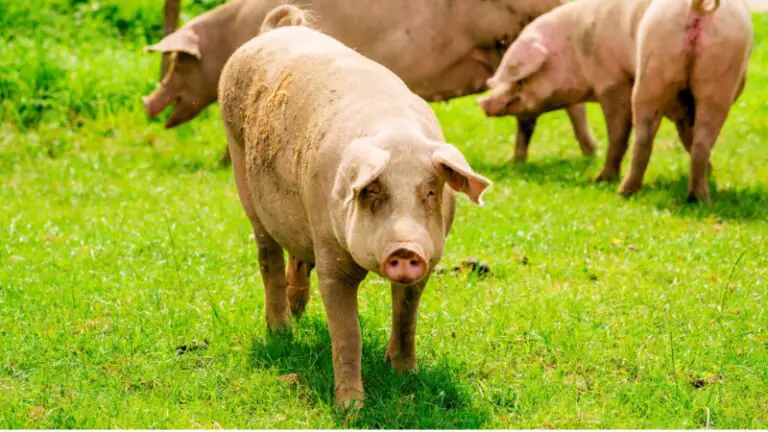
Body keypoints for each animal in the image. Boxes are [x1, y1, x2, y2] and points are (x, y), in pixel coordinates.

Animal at [218, 5, 492, 406]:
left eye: (429, 192)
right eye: (372, 192)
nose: (406, 249)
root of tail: (273, 30)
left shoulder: (429, 261)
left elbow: (406, 316)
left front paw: (404, 373)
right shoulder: (331, 254)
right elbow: (348, 332)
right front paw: (351, 408)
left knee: (297, 255)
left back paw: (298, 313)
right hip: (242, 173)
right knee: (268, 254)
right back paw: (282, 331)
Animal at [478, 0, 753, 201]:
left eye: (520, 80)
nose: (483, 104)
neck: (577, 47)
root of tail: (698, 7)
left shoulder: (611, 81)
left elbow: (619, 131)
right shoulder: (684, 105)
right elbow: (688, 138)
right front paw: (712, 175)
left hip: (651, 70)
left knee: (642, 136)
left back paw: (616, 187)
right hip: (719, 76)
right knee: (703, 141)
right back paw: (700, 197)